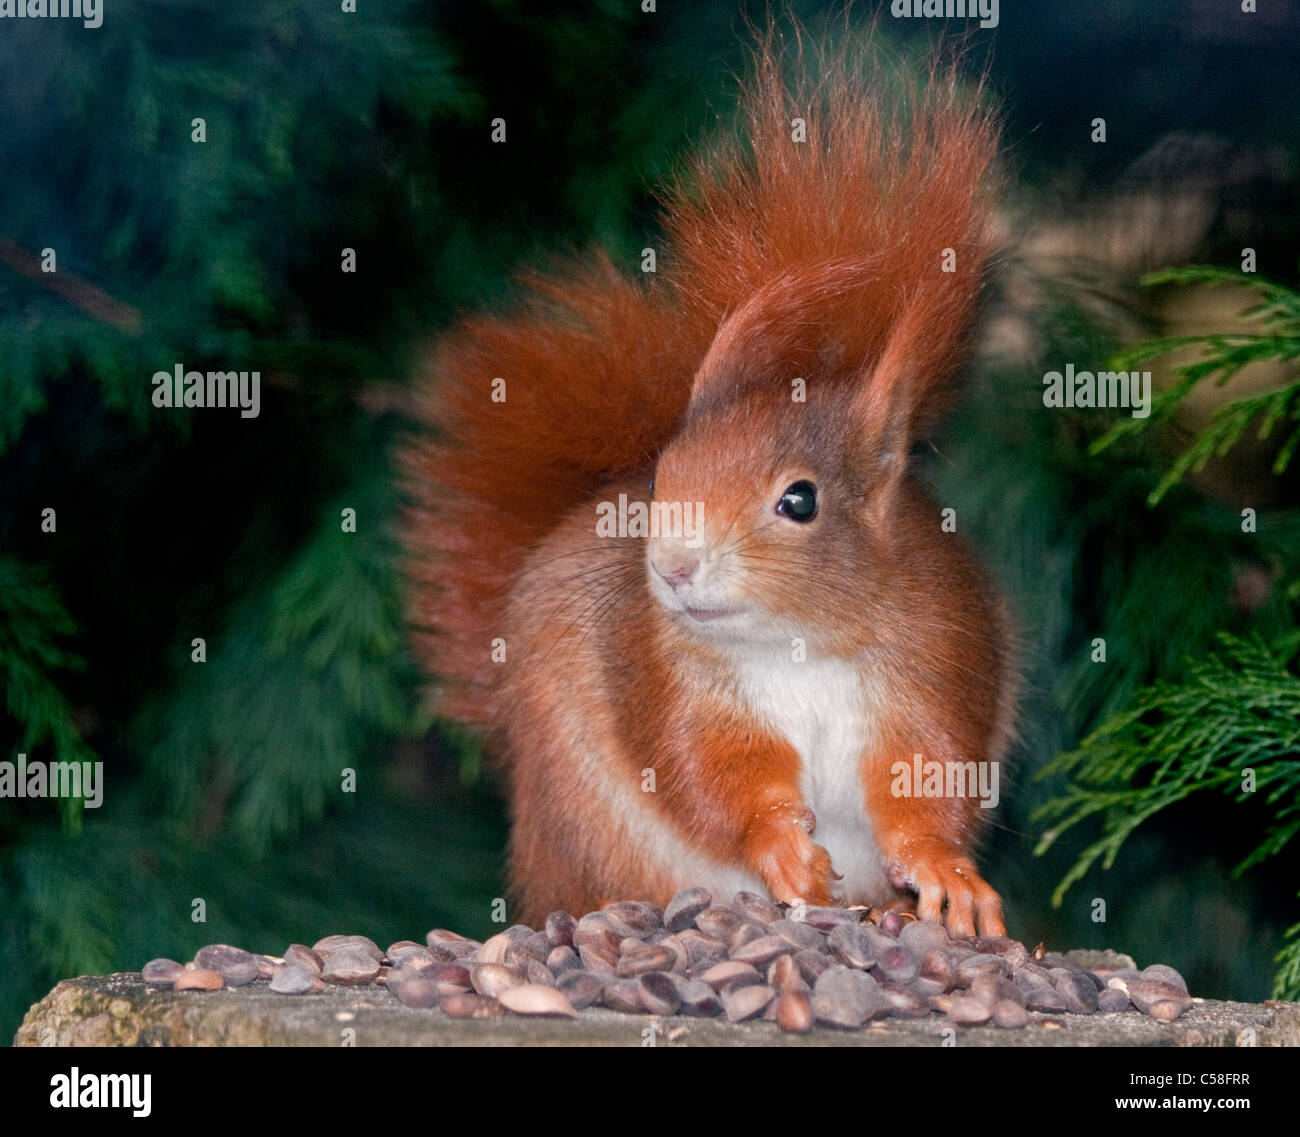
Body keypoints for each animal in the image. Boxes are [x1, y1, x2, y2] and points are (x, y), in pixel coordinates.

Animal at [401, 24, 1017, 937]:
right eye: (663, 477)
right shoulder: (677, 682)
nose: (672, 568)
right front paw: (782, 847)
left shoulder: (935, 662)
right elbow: (711, 770)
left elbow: (924, 780)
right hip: (590, 833)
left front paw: (949, 873)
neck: (799, 645)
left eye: (799, 500)